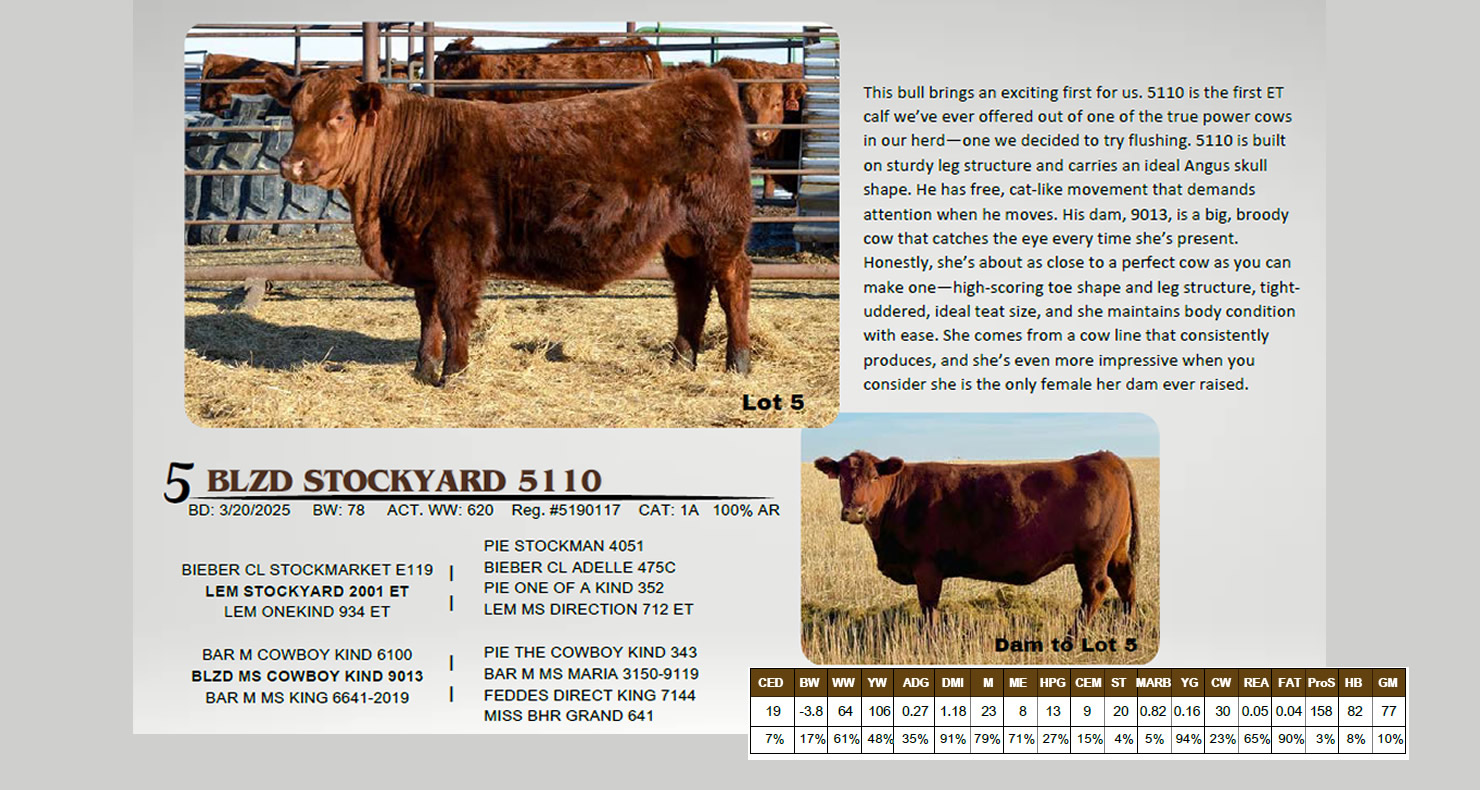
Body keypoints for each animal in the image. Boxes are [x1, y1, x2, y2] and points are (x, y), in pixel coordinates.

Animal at [263, 67, 756, 385]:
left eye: (339, 117)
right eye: (295, 116)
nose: (292, 164)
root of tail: (705, 80)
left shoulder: (455, 247)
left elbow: (453, 310)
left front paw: (455, 373)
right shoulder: (421, 254)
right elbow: (427, 315)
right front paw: (423, 369)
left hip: (719, 227)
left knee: (732, 283)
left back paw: (738, 363)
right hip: (681, 239)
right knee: (691, 290)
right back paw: (681, 361)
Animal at [812, 450, 1140, 635]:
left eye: (873, 477)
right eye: (842, 477)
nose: (854, 511)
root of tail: (1105, 456)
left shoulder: (926, 567)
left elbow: (929, 607)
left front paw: (929, 641)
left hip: (1093, 554)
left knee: (1096, 590)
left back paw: (1074, 635)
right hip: (1115, 550)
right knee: (1125, 579)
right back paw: (1127, 624)